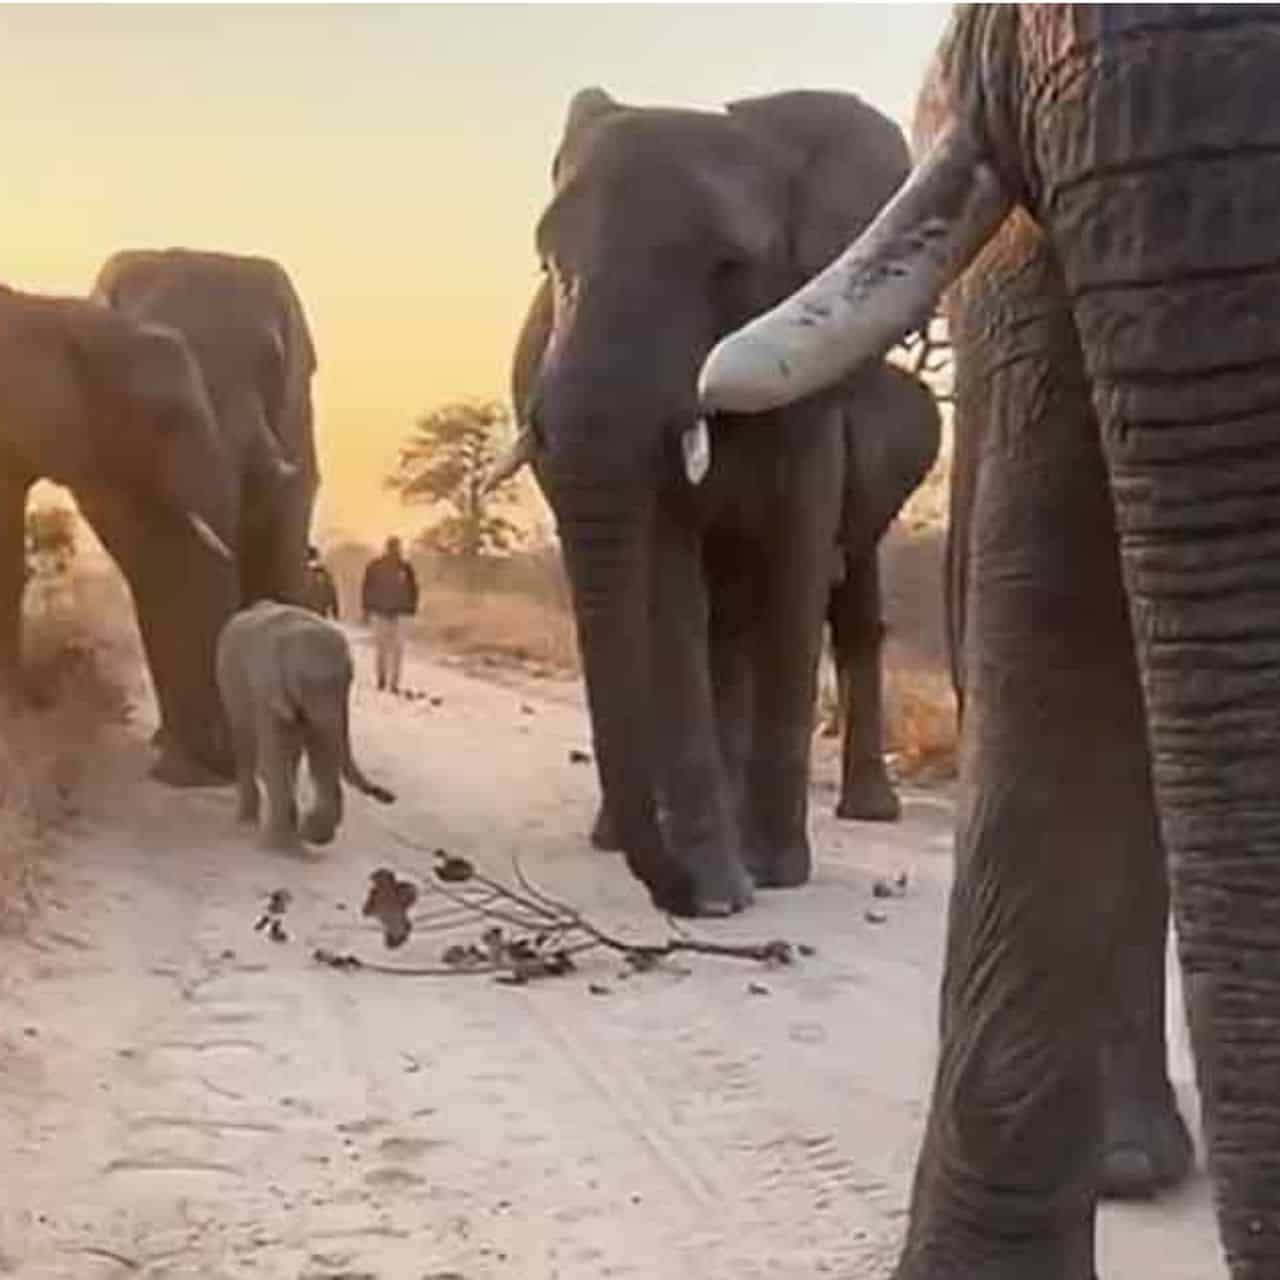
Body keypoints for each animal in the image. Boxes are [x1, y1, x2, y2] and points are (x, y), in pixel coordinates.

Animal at [92, 248, 318, 786]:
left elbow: (278, 555)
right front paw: (185, 768)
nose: (220, 765)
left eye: (271, 362)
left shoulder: (295, 422)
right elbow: (160, 566)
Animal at [216, 601, 394, 851]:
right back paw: (248, 822)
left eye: (348, 680)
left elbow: (321, 748)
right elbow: (277, 751)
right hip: (229, 684)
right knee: (245, 743)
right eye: (305, 683)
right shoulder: (266, 687)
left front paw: (308, 833)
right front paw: (284, 846)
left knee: (292, 752)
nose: (389, 796)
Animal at [495, 87, 941, 917]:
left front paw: (773, 873)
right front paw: (718, 891)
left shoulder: (813, 403)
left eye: (728, 267)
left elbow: (795, 576)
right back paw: (623, 838)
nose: (673, 895)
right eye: (551, 265)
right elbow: (671, 593)